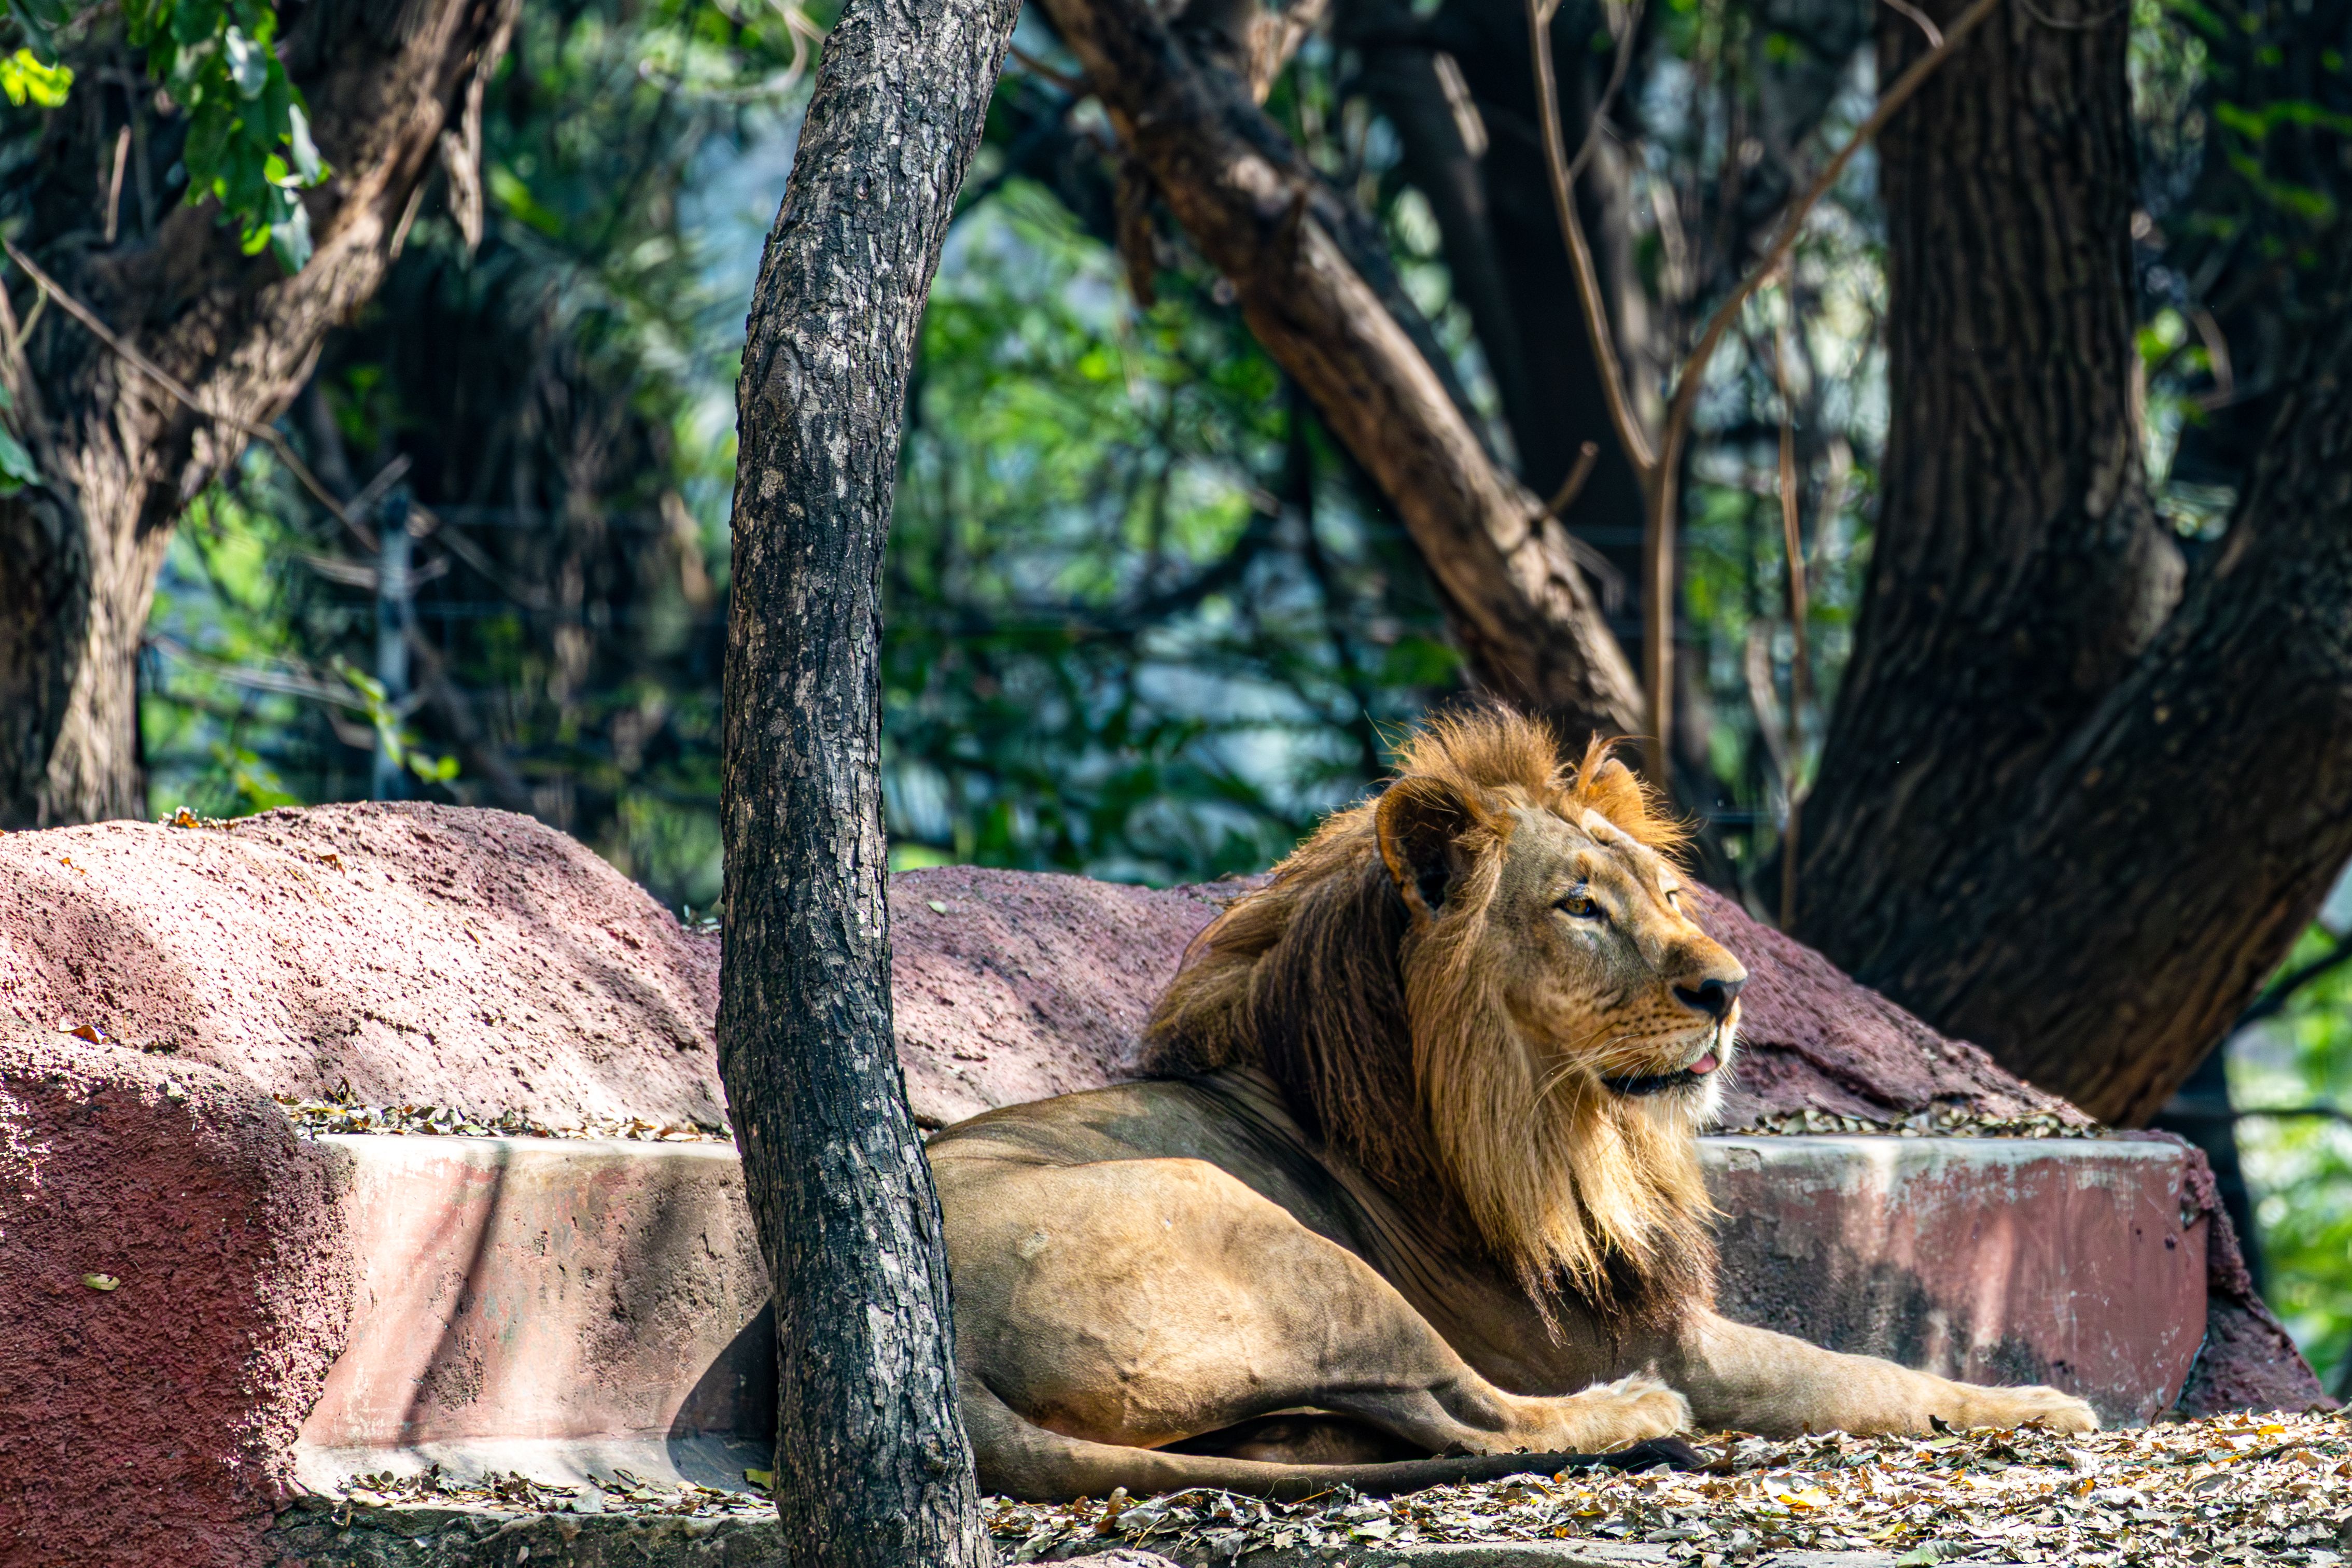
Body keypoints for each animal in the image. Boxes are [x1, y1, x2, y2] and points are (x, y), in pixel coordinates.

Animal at [929, 707, 2098, 1502]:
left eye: (1669, 896)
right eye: (1581, 907)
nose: (1731, 988)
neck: (1556, 1125)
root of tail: (954, 1368)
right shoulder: (1645, 1337)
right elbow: (1868, 1370)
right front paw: (2040, 1403)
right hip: (1268, 1238)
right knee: (1470, 1414)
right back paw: (1632, 1411)